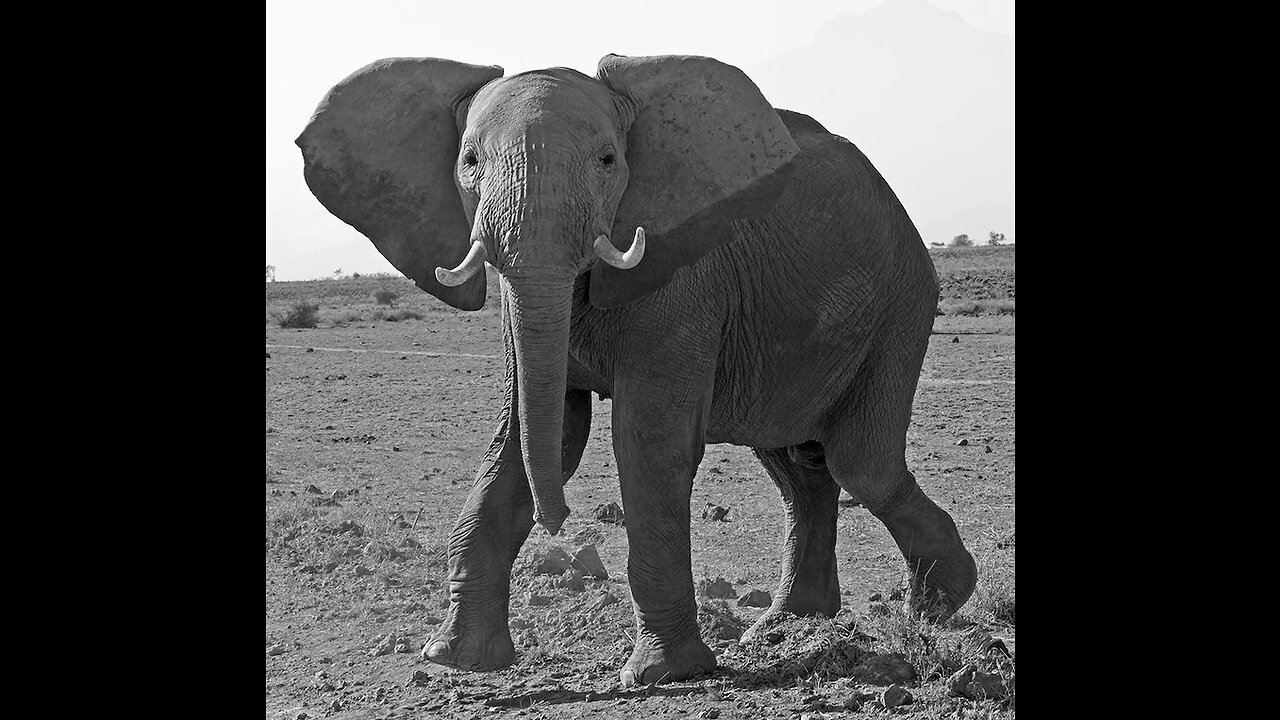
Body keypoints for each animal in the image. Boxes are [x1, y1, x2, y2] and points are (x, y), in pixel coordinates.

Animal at [296, 54, 977, 686]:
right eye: (468, 162)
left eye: (607, 161)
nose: (560, 526)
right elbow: (533, 437)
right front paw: (454, 660)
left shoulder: (683, 271)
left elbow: (648, 442)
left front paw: (663, 675)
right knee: (799, 471)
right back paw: (787, 626)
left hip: (901, 305)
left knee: (859, 463)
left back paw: (939, 605)